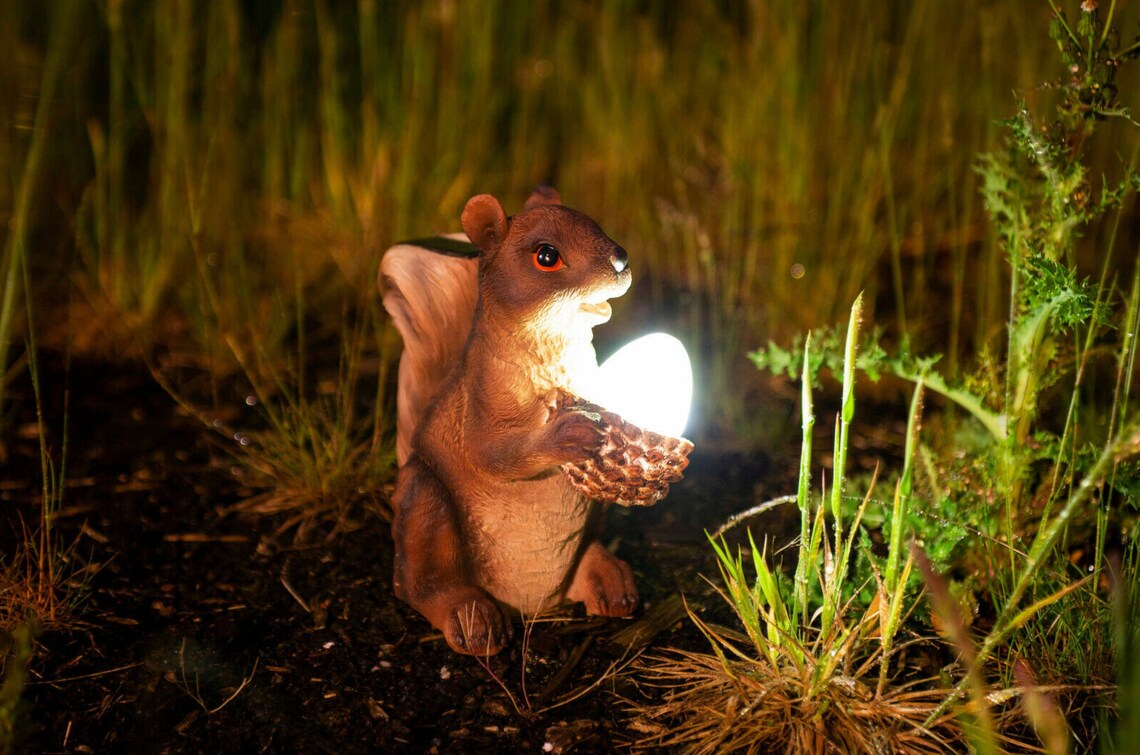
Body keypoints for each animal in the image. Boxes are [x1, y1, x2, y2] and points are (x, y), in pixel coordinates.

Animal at [379, 187, 637, 655]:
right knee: (418, 586)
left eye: (595, 223)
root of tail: (535, 602)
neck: (556, 339)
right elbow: (492, 454)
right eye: (546, 256)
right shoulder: (482, 397)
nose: (621, 260)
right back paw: (470, 616)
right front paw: (567, 432)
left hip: (594, 511)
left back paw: (607, 578)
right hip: (426, 502)